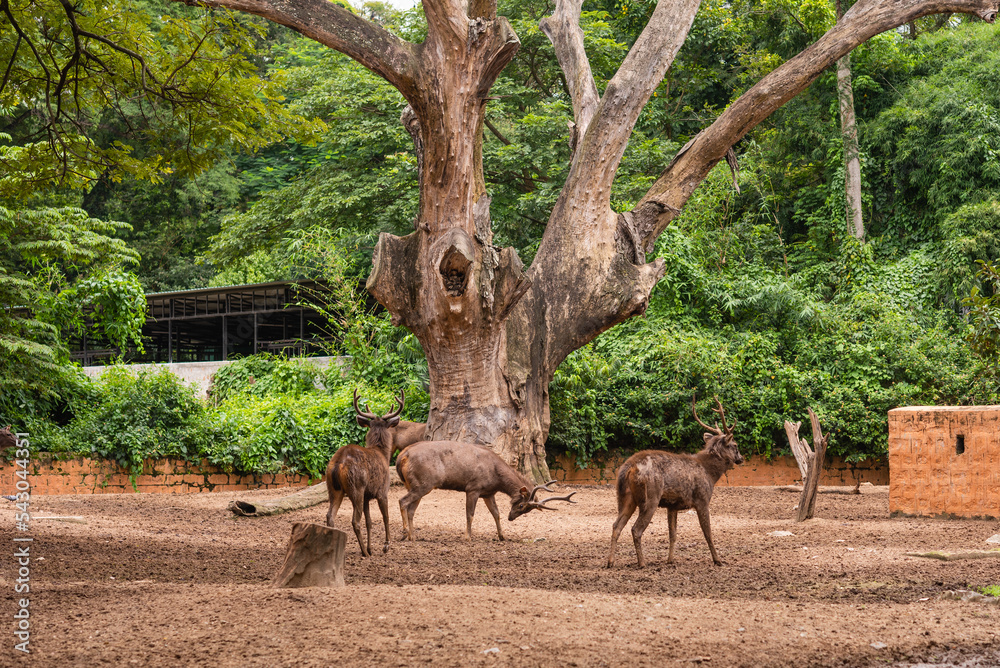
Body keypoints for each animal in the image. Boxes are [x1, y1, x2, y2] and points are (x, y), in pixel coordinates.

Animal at [324, 389, 403, 557]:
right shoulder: (382, 491)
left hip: (333, 488)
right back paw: (363, 552)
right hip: (356, 486)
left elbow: (370, 522)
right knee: (355, 520)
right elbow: (386, 517)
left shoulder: (367, 495)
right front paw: (385, 546)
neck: (383, 454)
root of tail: (339, 463)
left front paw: (371, 548)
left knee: (330, 515)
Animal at [395, 440, 577, 541]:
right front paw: (468, 537)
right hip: (423, 483)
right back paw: (404, 533)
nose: (511, 518)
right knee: (402, 501)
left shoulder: (488, 493)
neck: (496, 477)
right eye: (521, 506)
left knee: (411, 509)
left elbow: (496, 514)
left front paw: (502, 536)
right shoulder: (473, 488)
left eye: (527, 511)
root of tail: (401, 456)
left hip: (415, 484)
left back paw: (413, 536)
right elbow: (470, 514)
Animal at [606, 395, 743, 568]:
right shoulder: (702, 499)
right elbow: (708, 534)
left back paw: (610, 562)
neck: (711, 474)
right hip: (650, 497)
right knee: (635, 529)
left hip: (625, 497)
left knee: (616, 525)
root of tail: (629, 467)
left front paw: (670, 560)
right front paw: (718, 560)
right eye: (735, 445)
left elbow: (673, 534)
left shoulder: (672, 505)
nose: (741, 458)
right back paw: (642, 563)